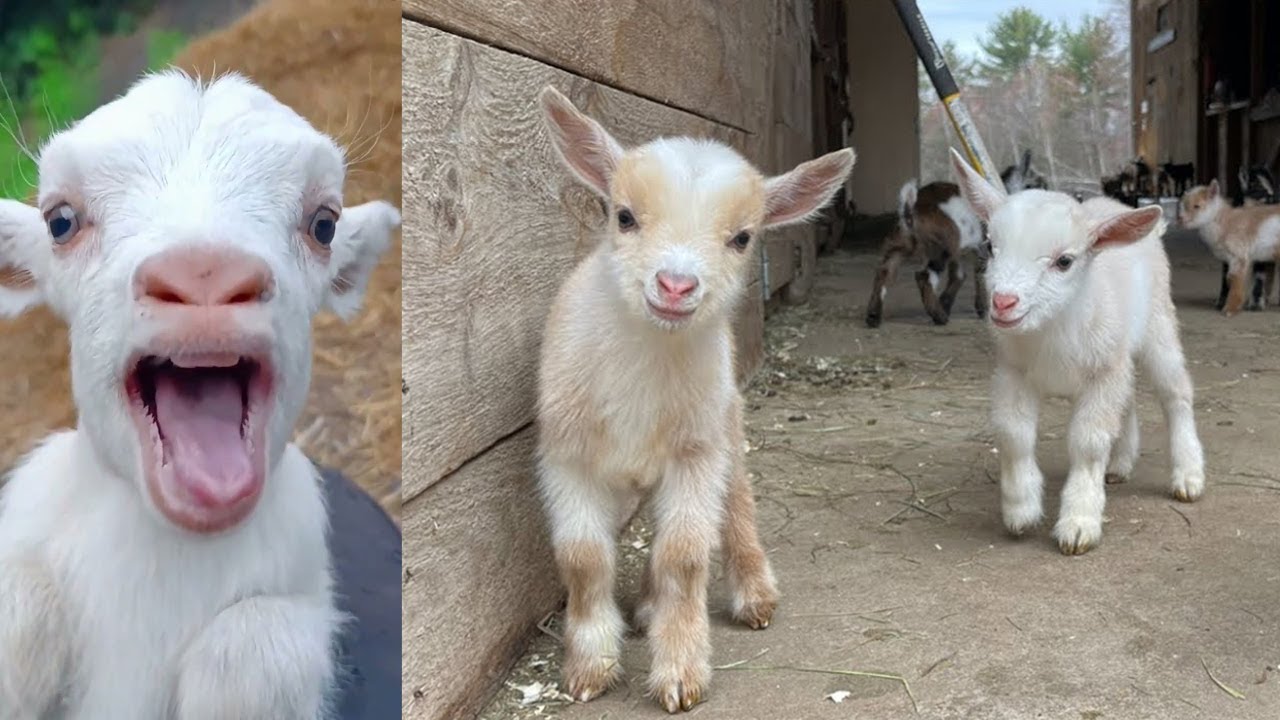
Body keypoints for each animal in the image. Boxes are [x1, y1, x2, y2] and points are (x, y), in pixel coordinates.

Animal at [535, 86, 854, 713]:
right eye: (624, 216)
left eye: (742, 237)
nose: (677, 286)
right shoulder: (567, 454)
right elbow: (584, 558)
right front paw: (589, 666)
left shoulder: (695, 453)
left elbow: (683, 556)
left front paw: (680, 672)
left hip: (723, 423)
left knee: (735, 504)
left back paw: (752, 593)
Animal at [951, 148, 1206, 556]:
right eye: (990, 247)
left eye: (1064, 261)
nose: (1003, 303)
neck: (1055, 330)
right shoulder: (1013, 372)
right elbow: (1013, 434)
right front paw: (1021, 509)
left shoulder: (1102, 373)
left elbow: (1088, 443)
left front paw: (1079, 523)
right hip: (1119, 352)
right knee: (1128, 399)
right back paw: (1119, 465)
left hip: (1158, 327)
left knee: (1176, 393)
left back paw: (1188, 475)